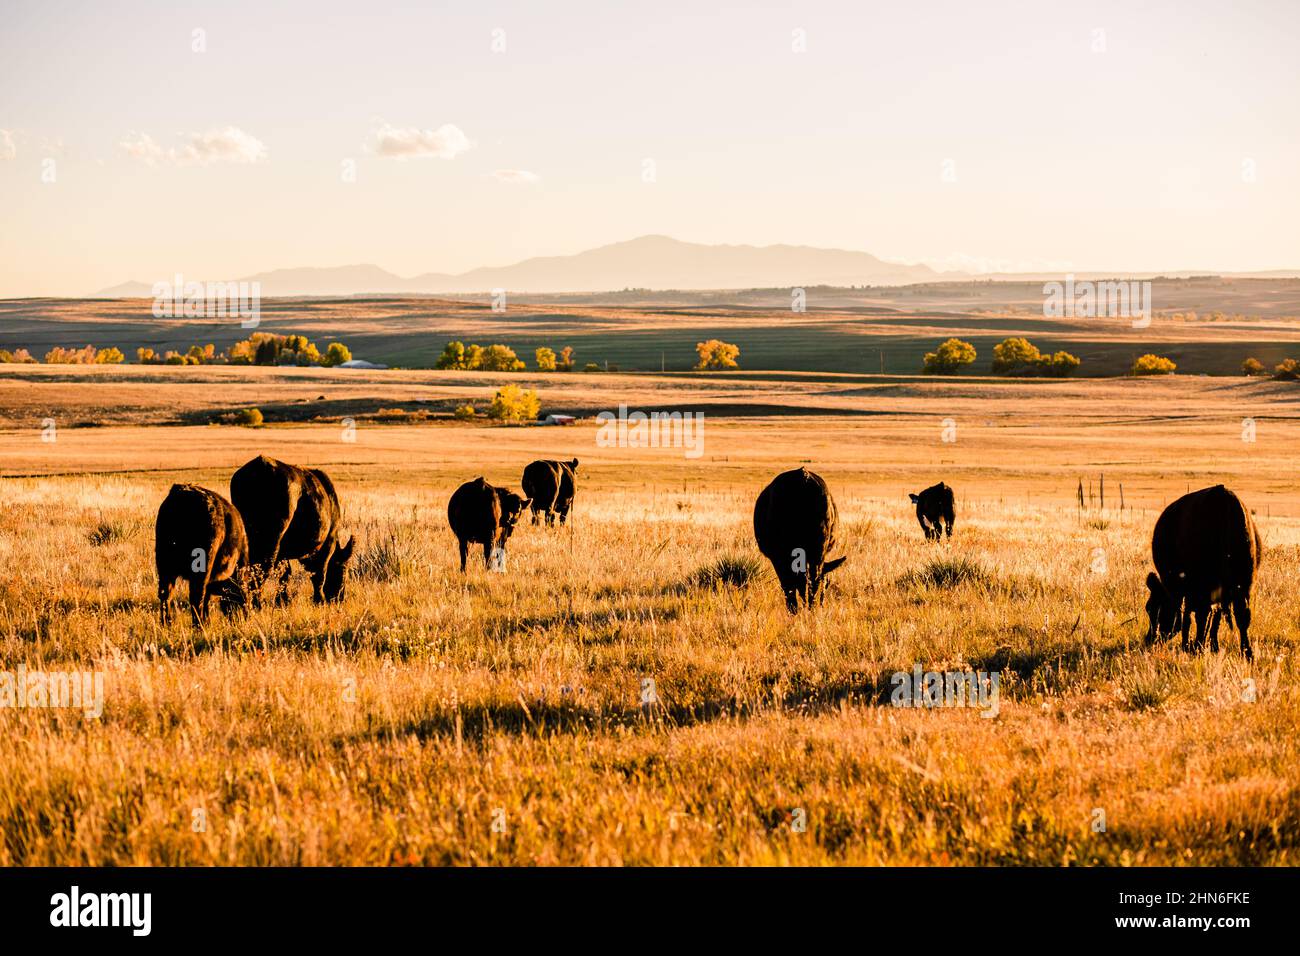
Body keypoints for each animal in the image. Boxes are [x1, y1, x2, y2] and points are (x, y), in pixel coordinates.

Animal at [155, 483, 251, 627]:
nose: (244, 618)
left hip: (165, 566)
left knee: (165, 594)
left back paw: (167, 623)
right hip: (202, 567)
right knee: (196, 597)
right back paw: (199, 626)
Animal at [229, 455, 355, 605]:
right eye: (343, 569)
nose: (340, 598)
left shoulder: (283, 553)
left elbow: (285, 574)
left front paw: (282, 599)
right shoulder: (327, 543)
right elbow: (319, 574)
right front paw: (319, 599)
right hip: (271, 539)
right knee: (262, 568)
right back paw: (256, 601)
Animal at [1144, 484, 1261, 661]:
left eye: (1151, 608)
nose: (1149, 639)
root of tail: (1221, 495)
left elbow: (1189, 615)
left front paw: (1190, 645)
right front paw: (1210, 646)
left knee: (1204, 614)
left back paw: (1198, 646)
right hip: (1243, 583)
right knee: (1242, 615)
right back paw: (1246, 653)